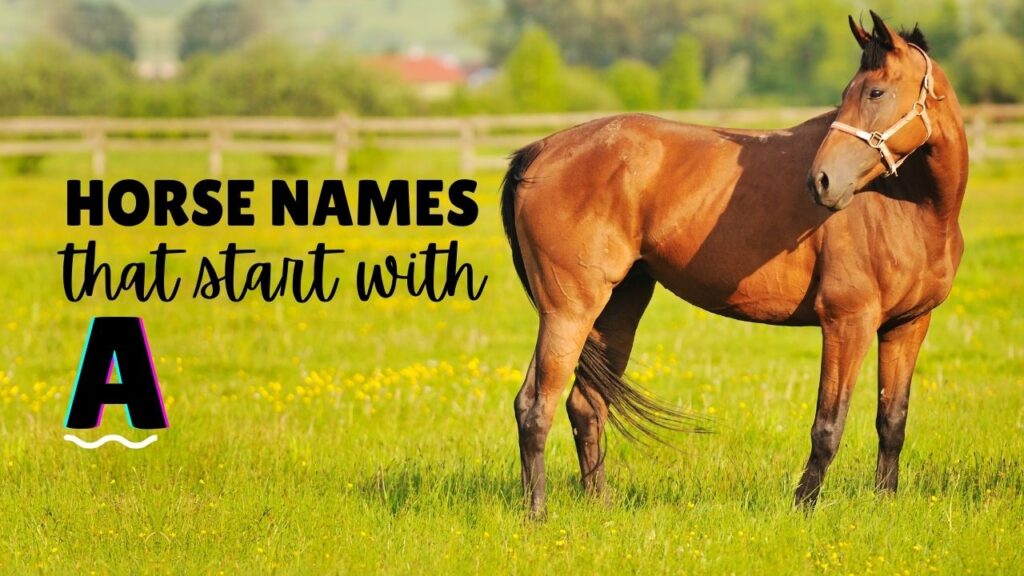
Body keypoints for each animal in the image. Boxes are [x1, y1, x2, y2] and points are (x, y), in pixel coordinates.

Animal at [500, 11, 968, 518]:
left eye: (875, 92)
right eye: (850, 92)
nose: (821, 181)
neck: (909, 205)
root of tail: (539, 152)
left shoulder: (908, 325)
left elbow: (892, 420)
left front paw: (884, 503)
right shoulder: (848, 323)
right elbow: (828, 426)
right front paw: (803, 508)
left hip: (617, 306)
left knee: (585, 405)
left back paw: (600, 506)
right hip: (568, 311)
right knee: (535, 405)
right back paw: (537, 514)